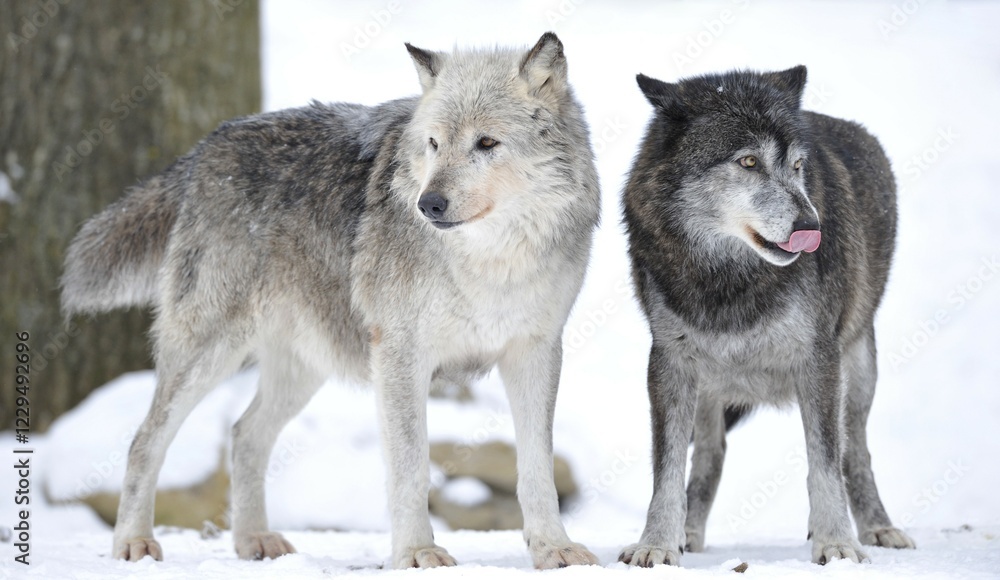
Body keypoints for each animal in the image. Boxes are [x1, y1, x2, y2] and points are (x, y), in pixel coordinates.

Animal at [61, 32, 601, 570]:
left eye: (487, 143)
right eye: (434, 144)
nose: (428, 204)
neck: (491, 264)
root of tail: (204, 149)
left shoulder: (535, 353)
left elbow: (537, 467)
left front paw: (554, 548)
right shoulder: (400, 356)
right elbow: (411, 468)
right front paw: (417, 552)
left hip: (304, 367)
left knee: (243, 435)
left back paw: (254, 540)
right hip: (209, 354)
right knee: (145, 440)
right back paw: (133, 542)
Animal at [618, 66, 915, 567]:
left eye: (797, 166)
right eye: (749, 162)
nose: (812, 228)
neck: (730, 278)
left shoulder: (818, 359)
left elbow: (824, 464)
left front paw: (836, 543)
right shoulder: (669, 365)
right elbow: (667, 471)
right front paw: (657, 544)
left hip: (858, 371)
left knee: (854, 452)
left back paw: (877, 527)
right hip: (710, 389)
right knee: (711, 454)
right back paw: (689, 533)